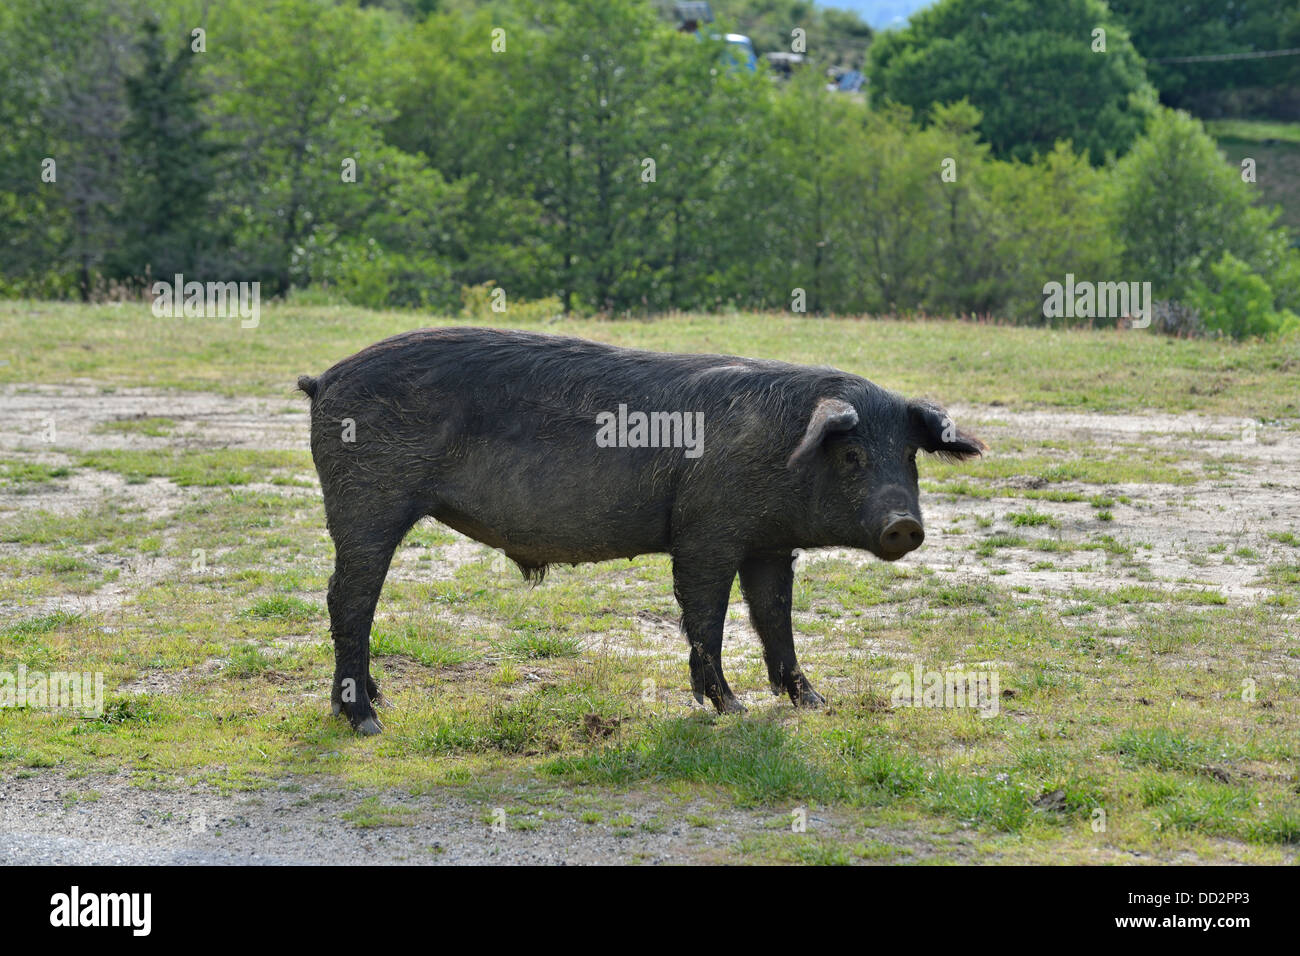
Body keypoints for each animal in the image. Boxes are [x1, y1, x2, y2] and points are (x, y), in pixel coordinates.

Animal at [298, 327, 985, 734]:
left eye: (910, 456)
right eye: (851, 456)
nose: (904, 526)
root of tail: (322, 380)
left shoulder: (767, 543)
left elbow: (774, 616)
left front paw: (814, 703)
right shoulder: (705, 530)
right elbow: (707, 616)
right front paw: (730, 709)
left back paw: (375, 702)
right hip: (367, 504)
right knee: (347, 599)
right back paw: (367, 720)